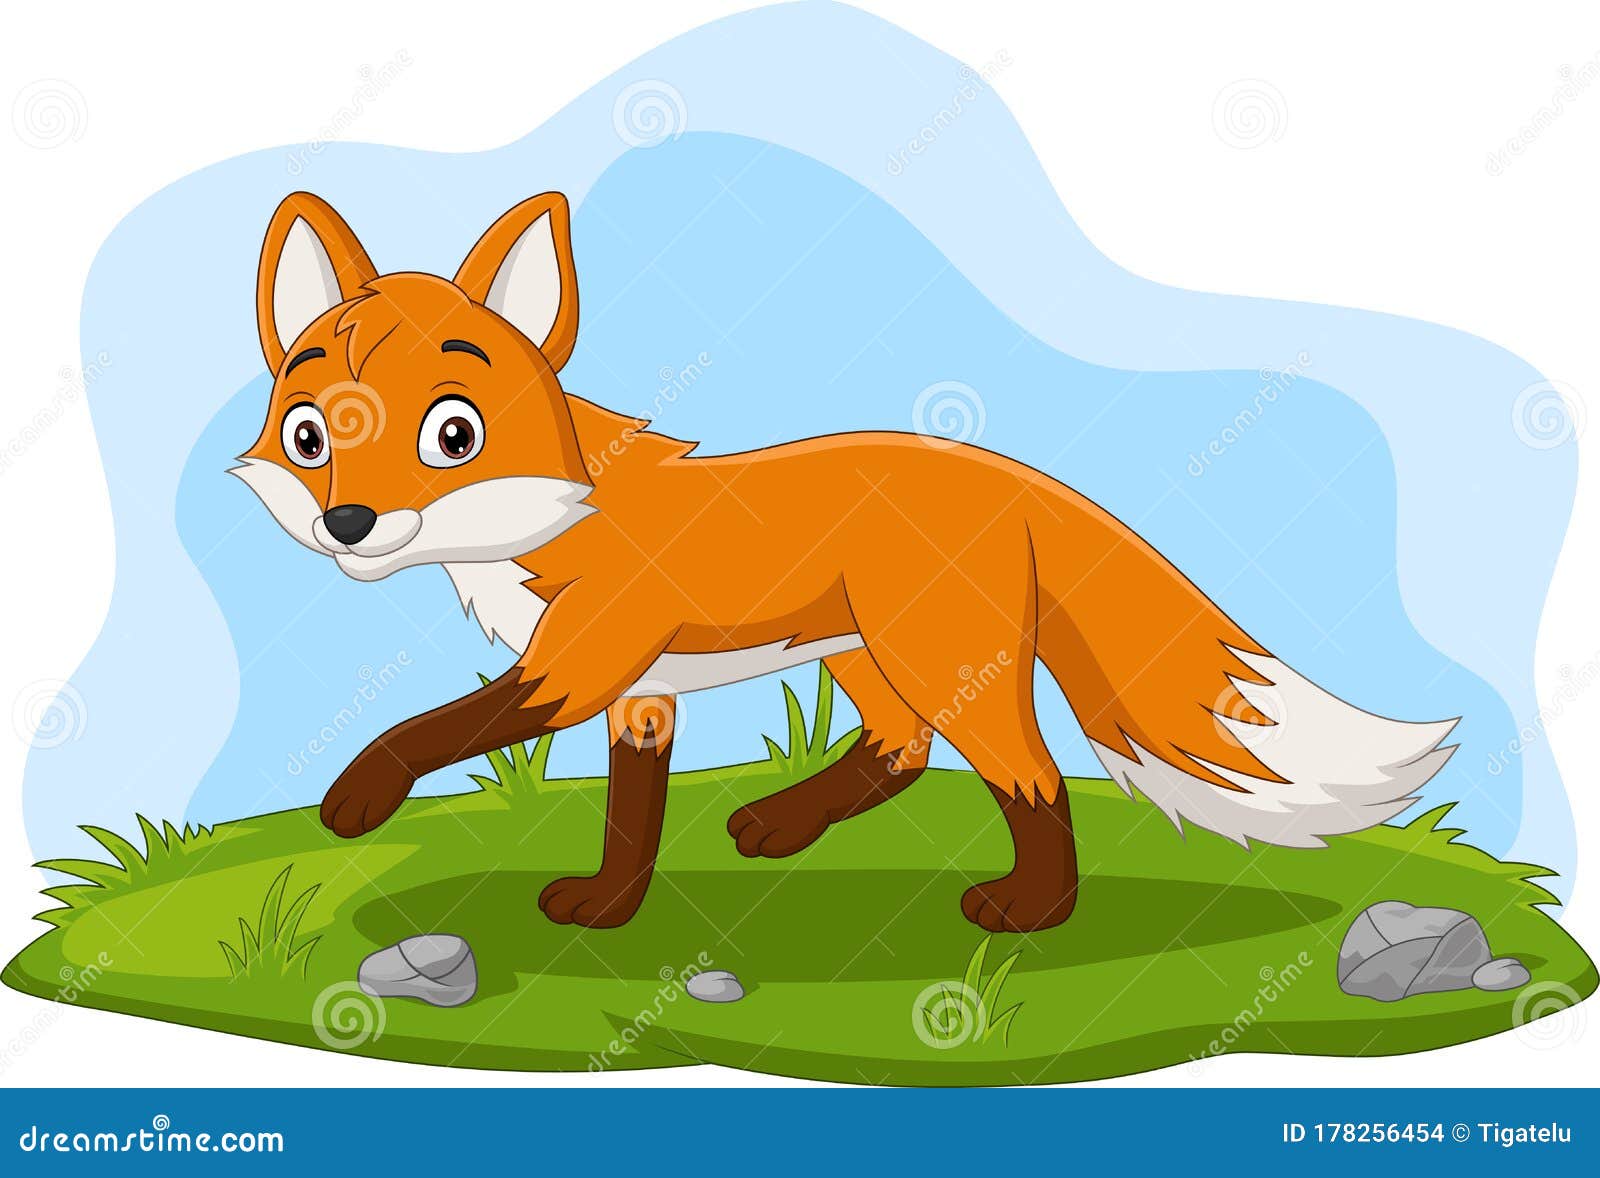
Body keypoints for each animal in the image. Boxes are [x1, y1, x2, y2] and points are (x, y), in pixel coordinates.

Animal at [234, 190, 1458, 932]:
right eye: (311, 434)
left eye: (453, 435)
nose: (349, 523)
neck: (558, 519)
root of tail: (1013, 474)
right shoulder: (639, 694)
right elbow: (633, 811)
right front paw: (609, 908)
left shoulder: (573, 666)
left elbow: (428, 729)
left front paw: (356, 799)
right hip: (862, 652)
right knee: (902, 751)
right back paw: (776, 826)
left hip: (940, 660)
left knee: (1030, 775)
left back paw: (1029, 911)